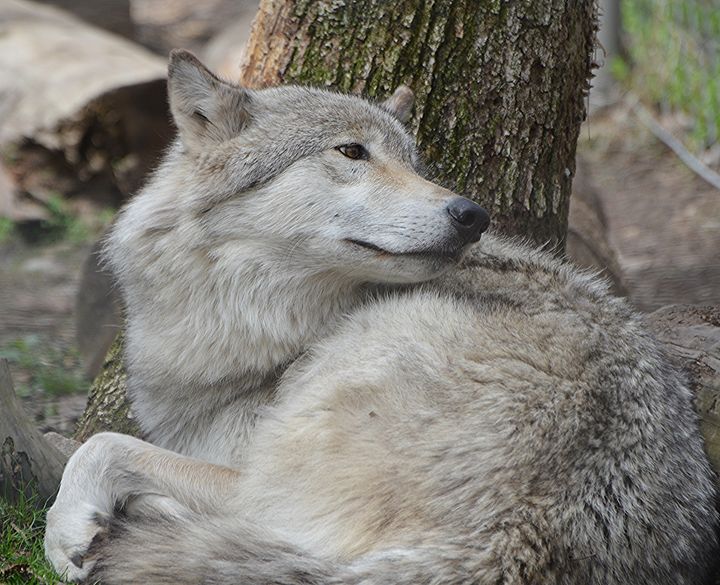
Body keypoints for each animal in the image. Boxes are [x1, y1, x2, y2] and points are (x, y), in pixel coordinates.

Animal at [45, 50, 718, 584]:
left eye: (415, 164)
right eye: (352, 152)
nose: (472, 215)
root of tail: (512, 540)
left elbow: (102, 445)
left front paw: (66, 532)